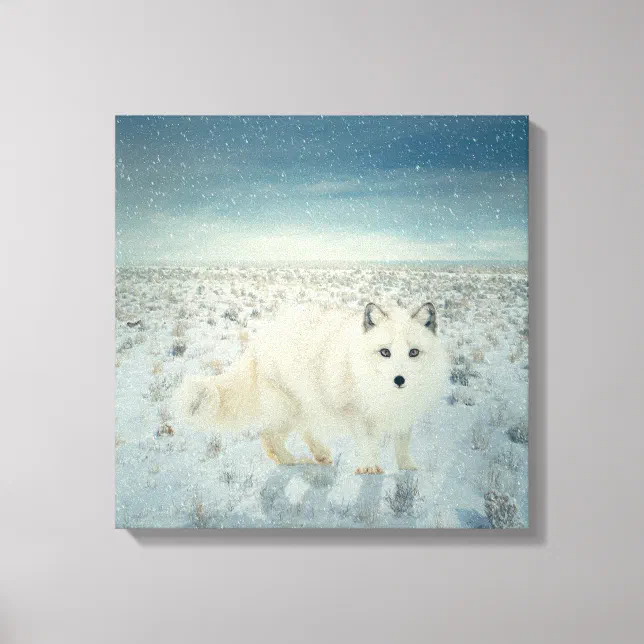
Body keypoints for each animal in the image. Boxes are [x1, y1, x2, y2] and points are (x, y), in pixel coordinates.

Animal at [176, 301, 448, 474]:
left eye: (414, 352)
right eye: (385, 352)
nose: (399, 379)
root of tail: (259, 340)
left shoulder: (405, 415)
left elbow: (402, 444)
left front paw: (407, 467)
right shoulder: (357, 412)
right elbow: (367, 443)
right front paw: (369, 467)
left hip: (307, 406)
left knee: (303, 432)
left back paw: (320, 455)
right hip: (288, 409)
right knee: (268, 435)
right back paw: (290, 461)